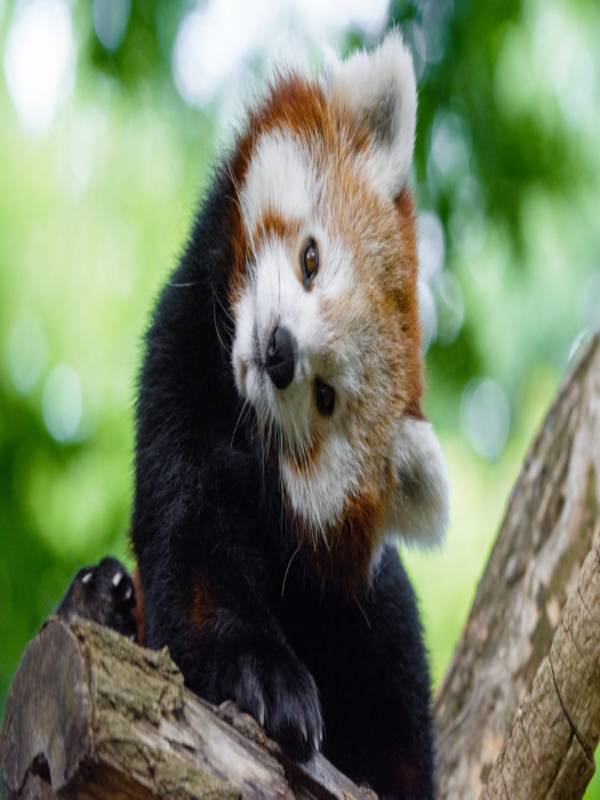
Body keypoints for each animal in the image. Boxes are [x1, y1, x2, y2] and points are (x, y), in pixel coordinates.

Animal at [59, 32, 449, 799]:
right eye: (310, 259)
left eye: (326, 396)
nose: (278, 351)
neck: (239, 420)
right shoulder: (180, 380)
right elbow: (194, 552)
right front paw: (269, 681)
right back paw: (95, 598)